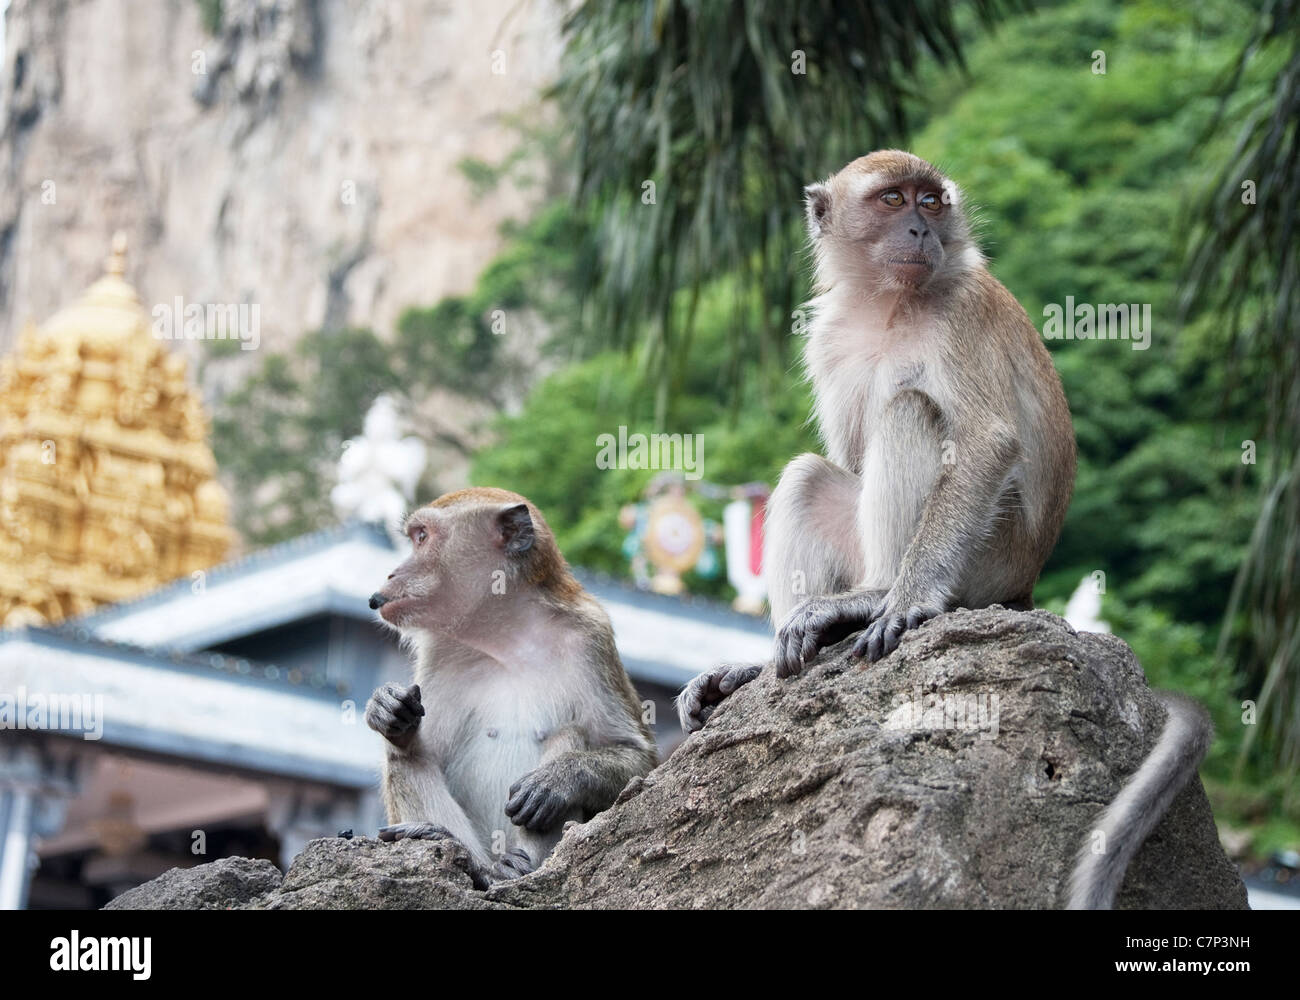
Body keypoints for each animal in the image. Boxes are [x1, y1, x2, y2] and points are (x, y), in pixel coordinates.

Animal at [365, 487, 657, 886]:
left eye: (422, 537)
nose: (392, 572)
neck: (508, 637)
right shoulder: (440, 653)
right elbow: (421, 750)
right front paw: (386, 709)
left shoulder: (590, 638)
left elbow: (636, 754)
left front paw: (559, 780)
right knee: (404, 758)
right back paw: (460, 853)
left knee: (569, 734)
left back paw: (517, 869)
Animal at [673, 150, 1210, 908]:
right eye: (893, 199)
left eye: (930, 202)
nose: (920, 231)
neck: (890, 303)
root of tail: (1024, 589)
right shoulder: (828, 334)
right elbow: (846, 461)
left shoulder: (962, 314)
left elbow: (985, 443)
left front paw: (903, 603)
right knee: (811, 473)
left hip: (988, 555)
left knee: (910, 409)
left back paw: (873, 596)